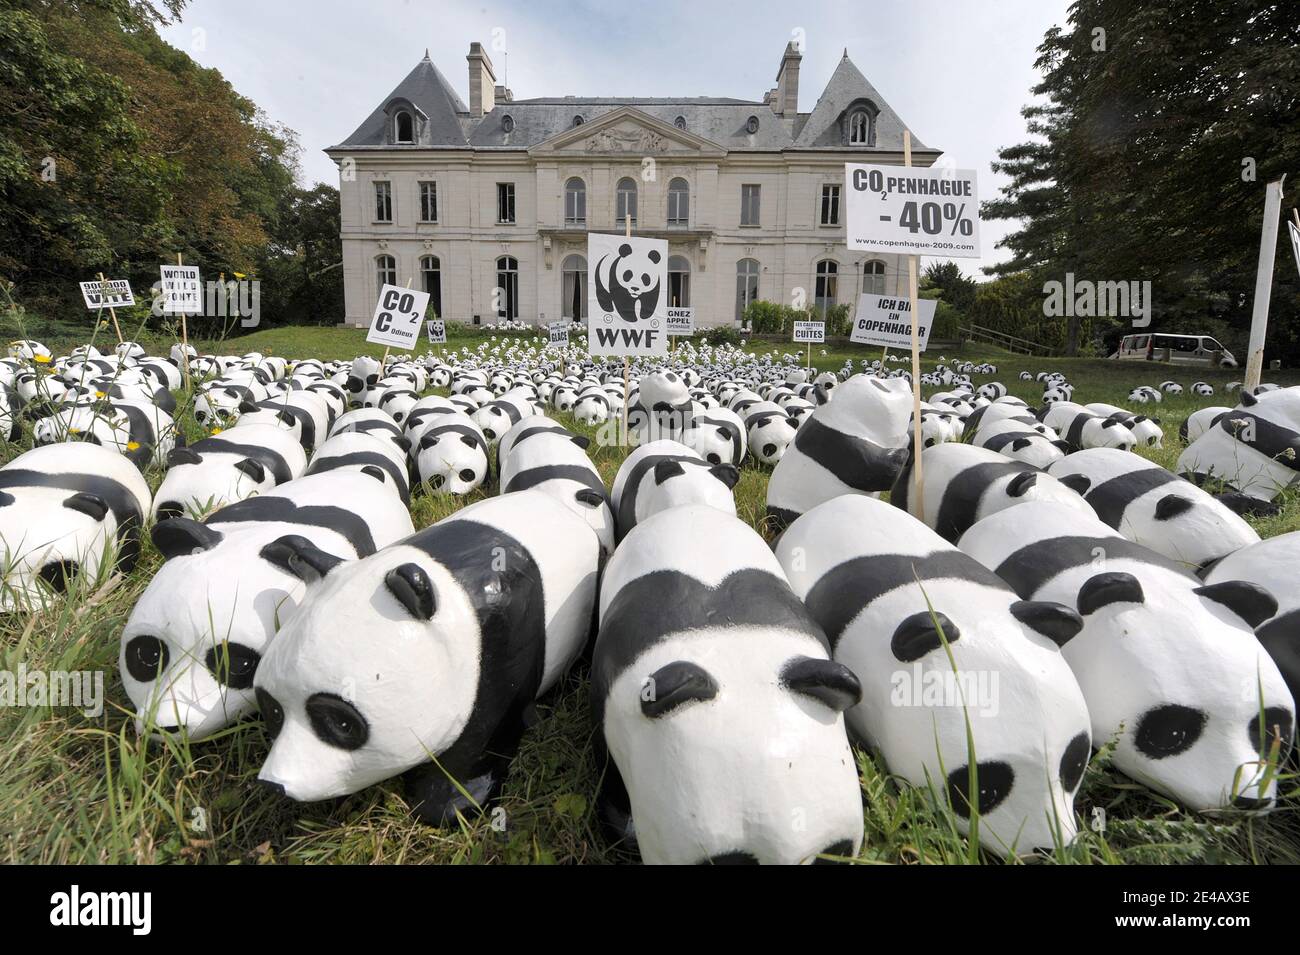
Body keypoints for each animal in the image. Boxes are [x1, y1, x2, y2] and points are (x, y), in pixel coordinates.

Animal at [253, 490, 600, 822]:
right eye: (273, 710)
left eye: (342, 723)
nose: (275, 784)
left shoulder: (502, 642)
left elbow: (483, 734)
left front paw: (449, 804)